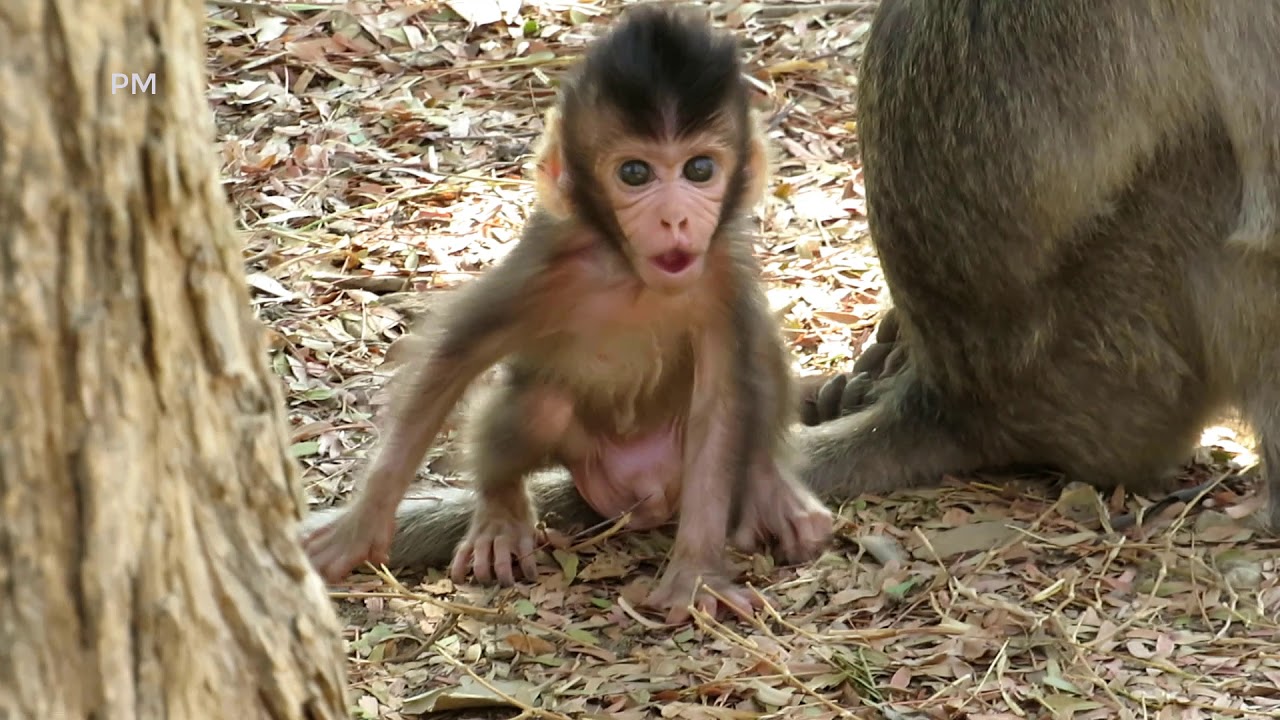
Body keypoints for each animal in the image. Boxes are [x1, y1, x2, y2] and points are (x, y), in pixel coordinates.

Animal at [301, 5, 834, 625]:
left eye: (700, 169)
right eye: (635, 174)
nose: (676, 220)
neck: (630, 274)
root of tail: (644, 493)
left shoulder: (722, 272)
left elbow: (722, 401)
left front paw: (698, 573)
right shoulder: (544, 262)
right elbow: (453, 356)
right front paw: (361, 523)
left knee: (758, 347)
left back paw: (770, 485)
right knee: (541, 403)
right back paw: (501, 512)